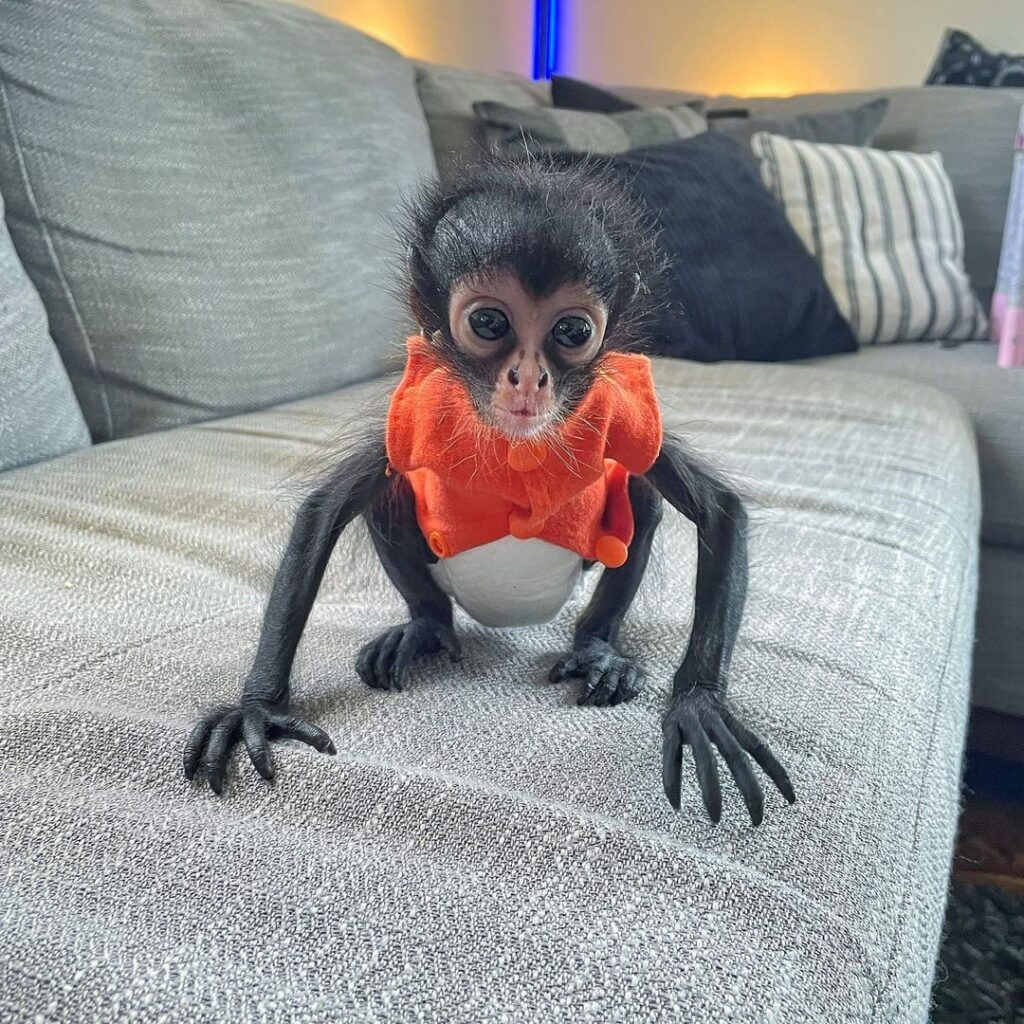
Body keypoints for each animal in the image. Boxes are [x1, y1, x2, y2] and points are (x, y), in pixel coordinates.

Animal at [183, 155, 796, 826]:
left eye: (572, 331)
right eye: (488, 323)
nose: (528, 377)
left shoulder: (617, 414)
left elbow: (720, 513)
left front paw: (700, 705)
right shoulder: (419, 409)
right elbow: (326, 511)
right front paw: (258, 709)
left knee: (639, 499)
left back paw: (598, 651)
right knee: (393, 501)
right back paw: (424, 629)